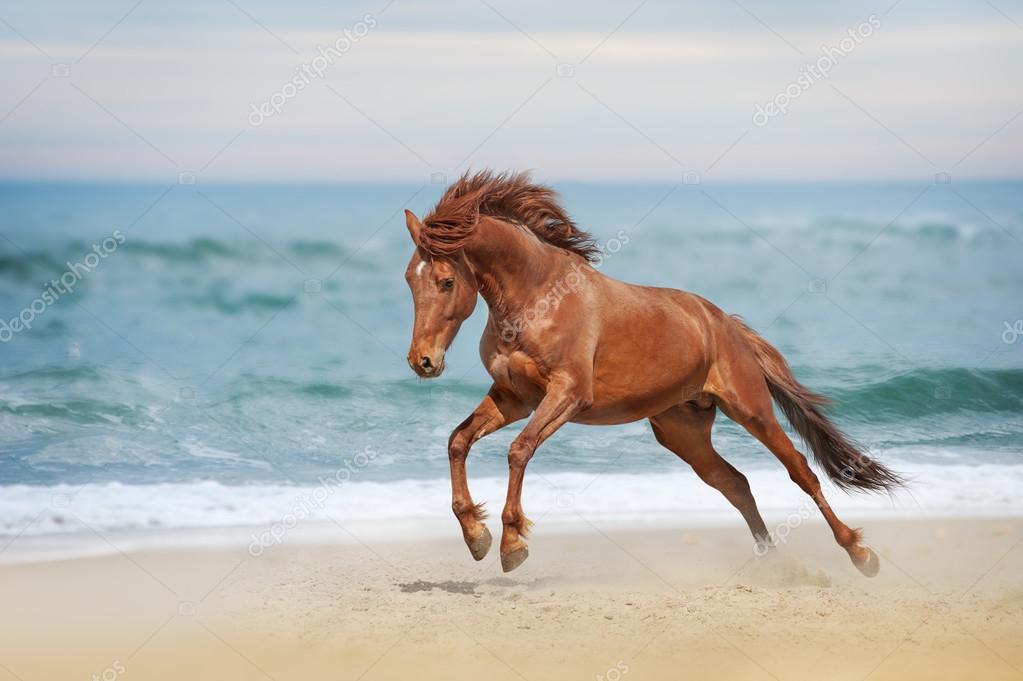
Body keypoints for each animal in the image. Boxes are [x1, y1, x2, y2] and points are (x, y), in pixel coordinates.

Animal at [402, 170, 901, 575]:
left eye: (446, 281)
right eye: (410, 278)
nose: (422, 361)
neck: (540, 297)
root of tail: (725, 324)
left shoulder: (566, 395)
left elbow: (519, 450)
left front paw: (511, 545)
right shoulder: (514, 398)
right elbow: (458, 441)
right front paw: (476, 537)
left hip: (752, 410)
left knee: (802, 472)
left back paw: (861, 554)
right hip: (683, 432)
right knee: (735, 484)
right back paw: (773, 563)